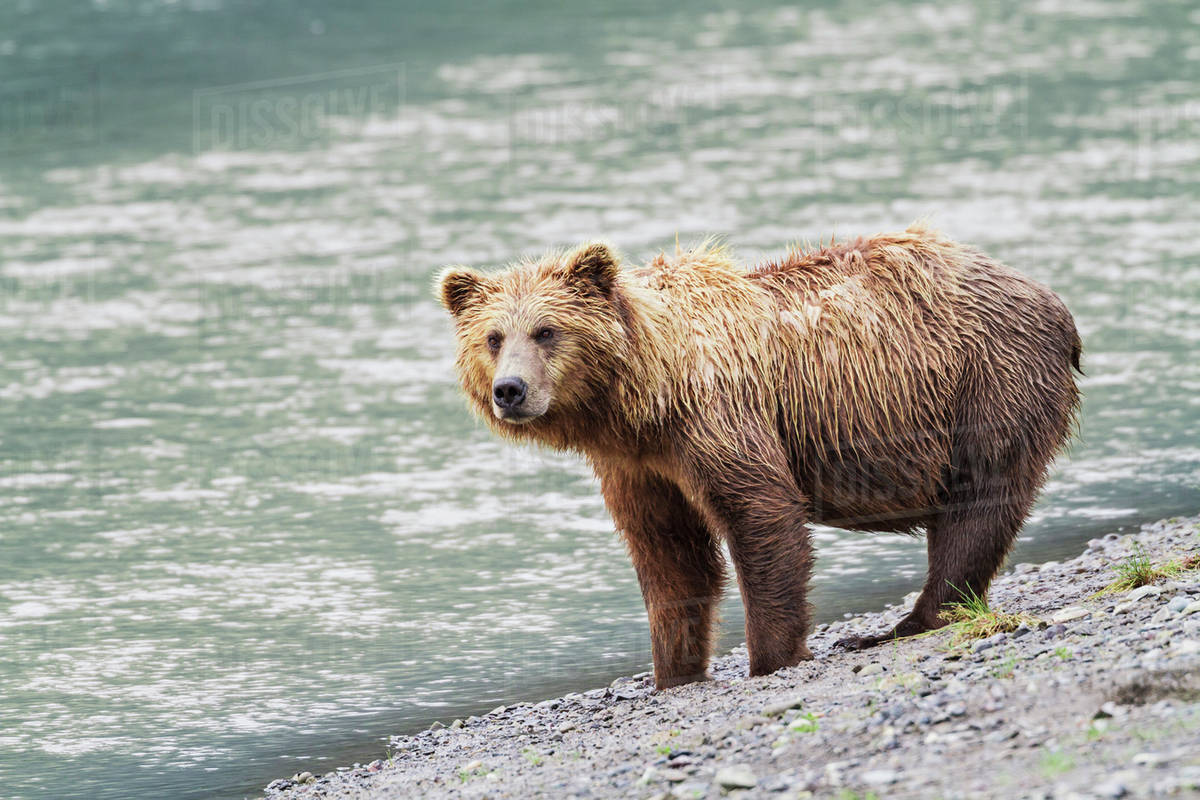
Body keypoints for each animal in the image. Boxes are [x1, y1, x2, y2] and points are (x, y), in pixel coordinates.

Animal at [437, 223, 1081, 690]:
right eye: (492, 337)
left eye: (546, 331)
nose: (510, 390)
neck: (643, 396)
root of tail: (1050, 299)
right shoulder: (638, 465)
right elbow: (669, 554)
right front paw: (672, 671)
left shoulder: (715, 415)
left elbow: (760, 512)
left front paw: (771, 655)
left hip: (983, 378)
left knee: (979, 496)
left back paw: (907, 621)